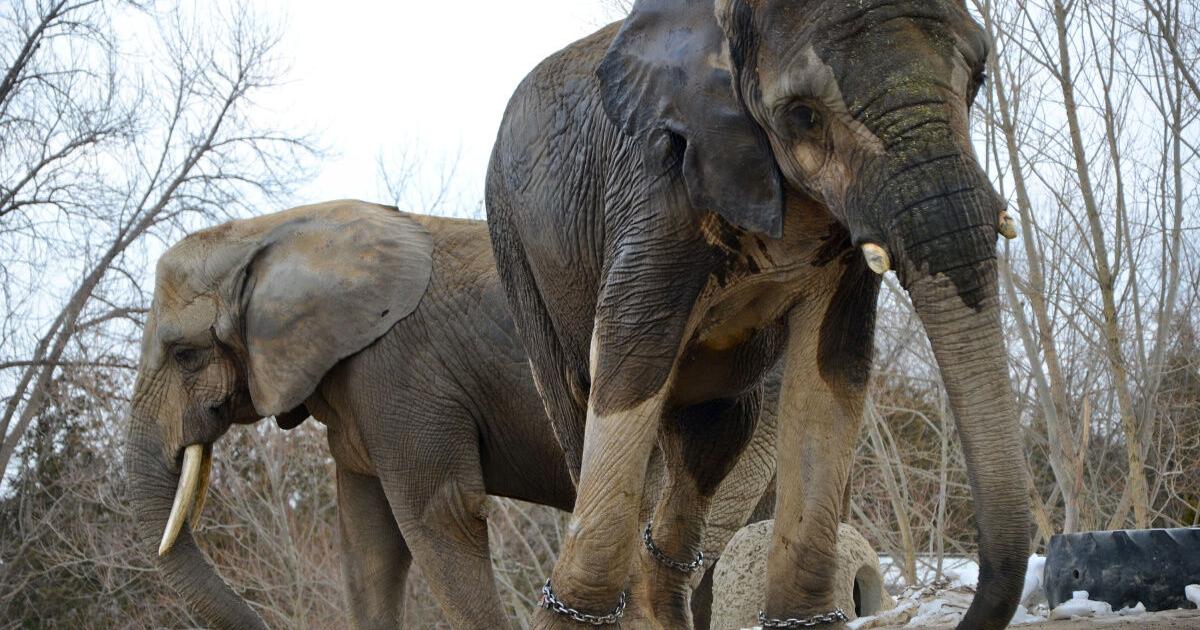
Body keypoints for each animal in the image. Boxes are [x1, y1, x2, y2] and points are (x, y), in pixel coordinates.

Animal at [485, 1, 1029, 629]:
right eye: (803, 116)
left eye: (978, 80)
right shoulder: (657, 180)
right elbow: (634, 350)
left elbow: (831, 373)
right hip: (517, 252)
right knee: (581, 409)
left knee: (716, 433)